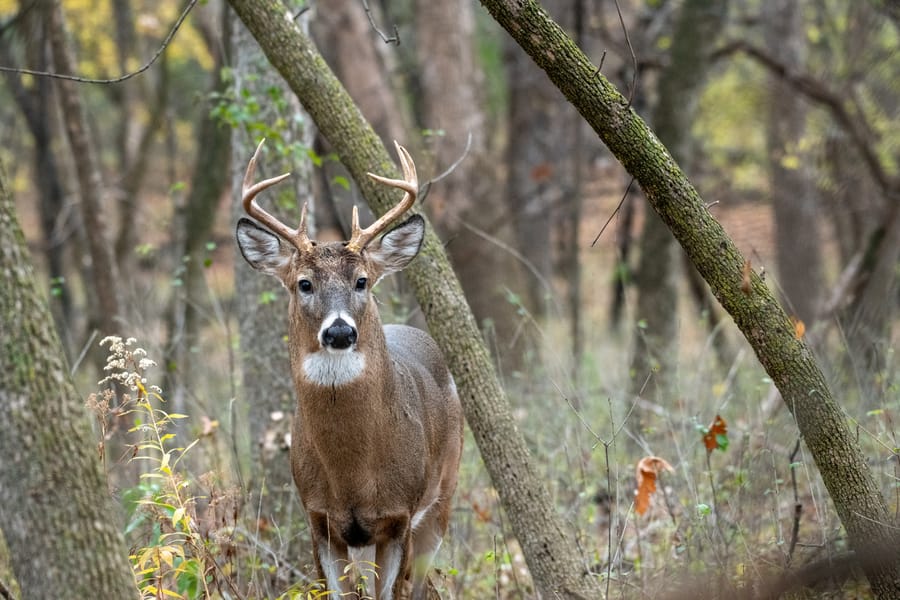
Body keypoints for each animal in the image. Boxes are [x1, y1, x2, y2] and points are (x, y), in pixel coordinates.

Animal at [235, 140, 463, 600]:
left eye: (361, 281)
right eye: (304, 283)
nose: (339, 330)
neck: (352, 474)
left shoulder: (399, 515)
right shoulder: (319, 519)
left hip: (443, 494)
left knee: (422, 583)